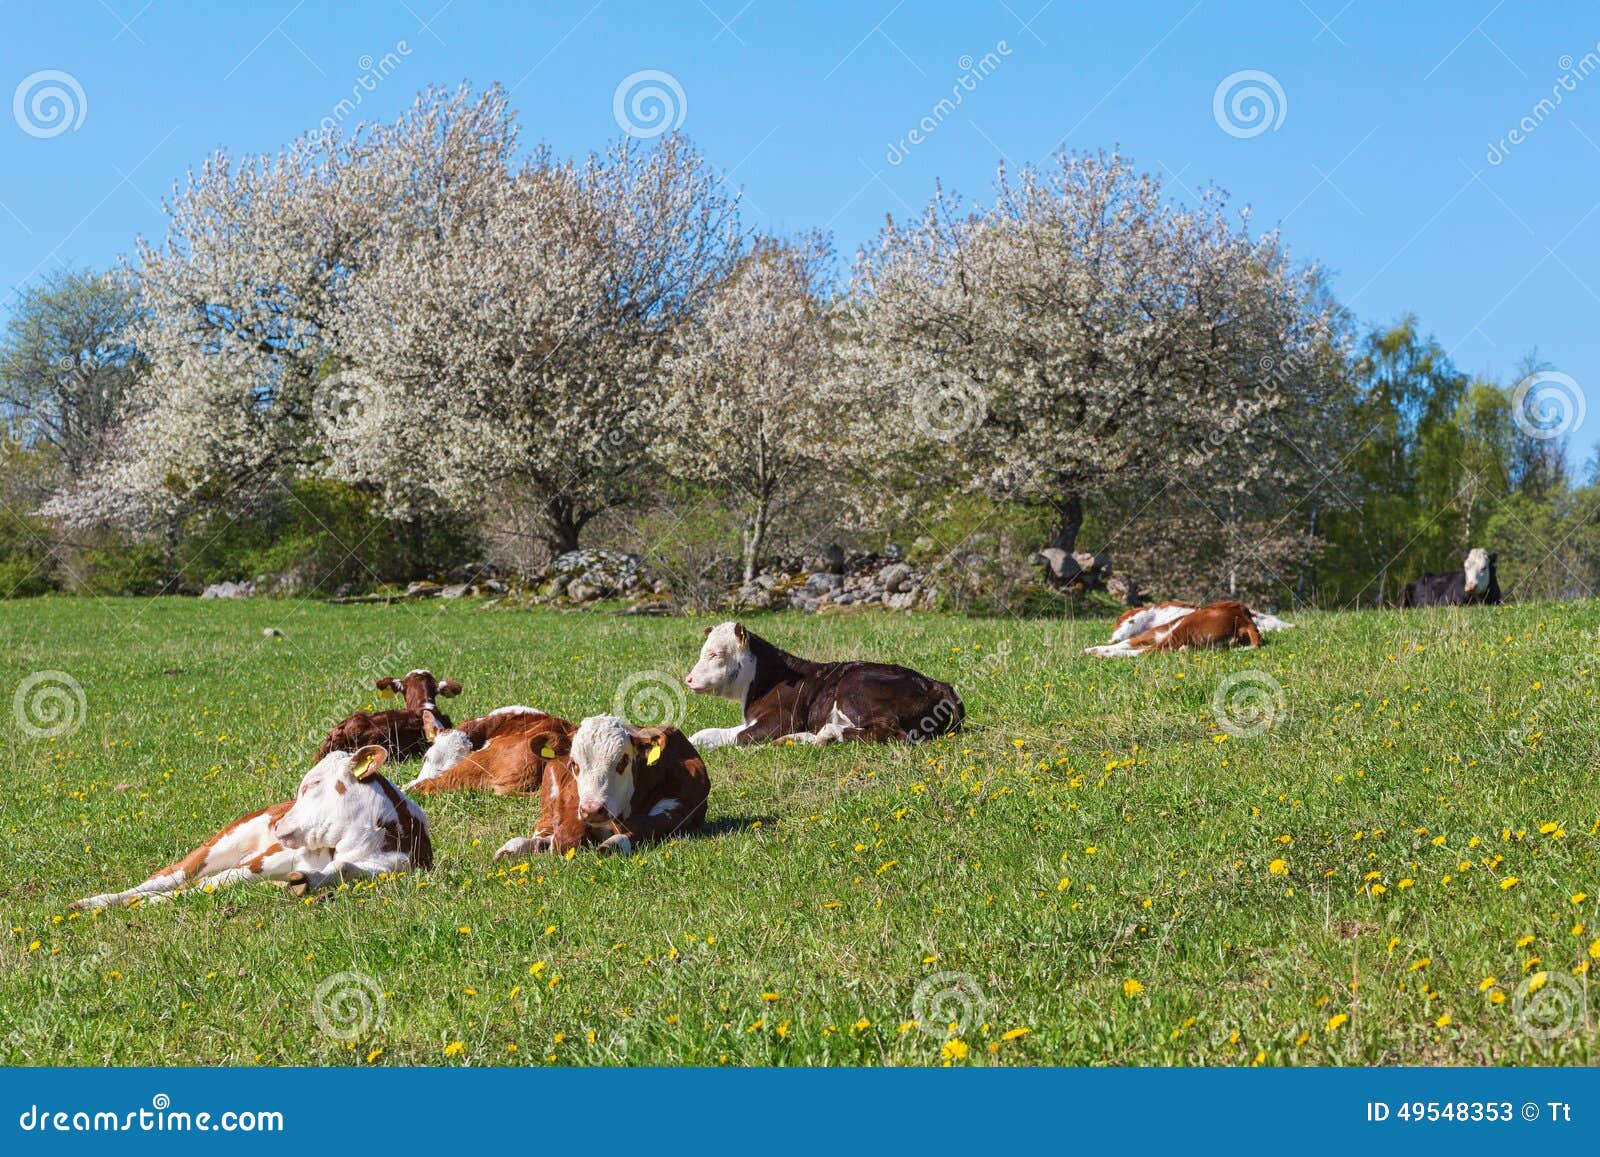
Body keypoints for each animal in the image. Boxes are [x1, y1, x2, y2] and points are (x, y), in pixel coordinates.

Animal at [71, 745, 431, 909]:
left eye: (312, 784)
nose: (279, 825)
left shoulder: (392, 866)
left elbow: (341, 870)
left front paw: (304, 882)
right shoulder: (266, 859)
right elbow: (211, 884)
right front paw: (149, 903)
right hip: (216, 847)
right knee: (167, 878)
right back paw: (96, 901)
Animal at [493, 716, 709, 859]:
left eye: (623, 761)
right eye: (574, 764)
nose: (593, 810)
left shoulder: (676, 809)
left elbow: (643, 826)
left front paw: (613, 844)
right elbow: (566, 836)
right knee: (543, 832)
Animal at [683, 621, 964, 751]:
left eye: (716, 654)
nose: (688, 679)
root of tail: (934, 682)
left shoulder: (781, 719)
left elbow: (741, 738)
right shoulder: (751, 719)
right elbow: (709, 732)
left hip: (855, 689)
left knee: (891, 732)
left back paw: (826, 734)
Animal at [1086, 600, 1263, 658]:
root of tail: (1246, 619)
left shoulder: (1155, 633)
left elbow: (1127, 643)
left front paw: (1095, 650)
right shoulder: (1154, 634)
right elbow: (1126, 642)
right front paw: (1091, 648)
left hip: (1185, 627)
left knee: (1150, 652)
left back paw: (1101, 655)